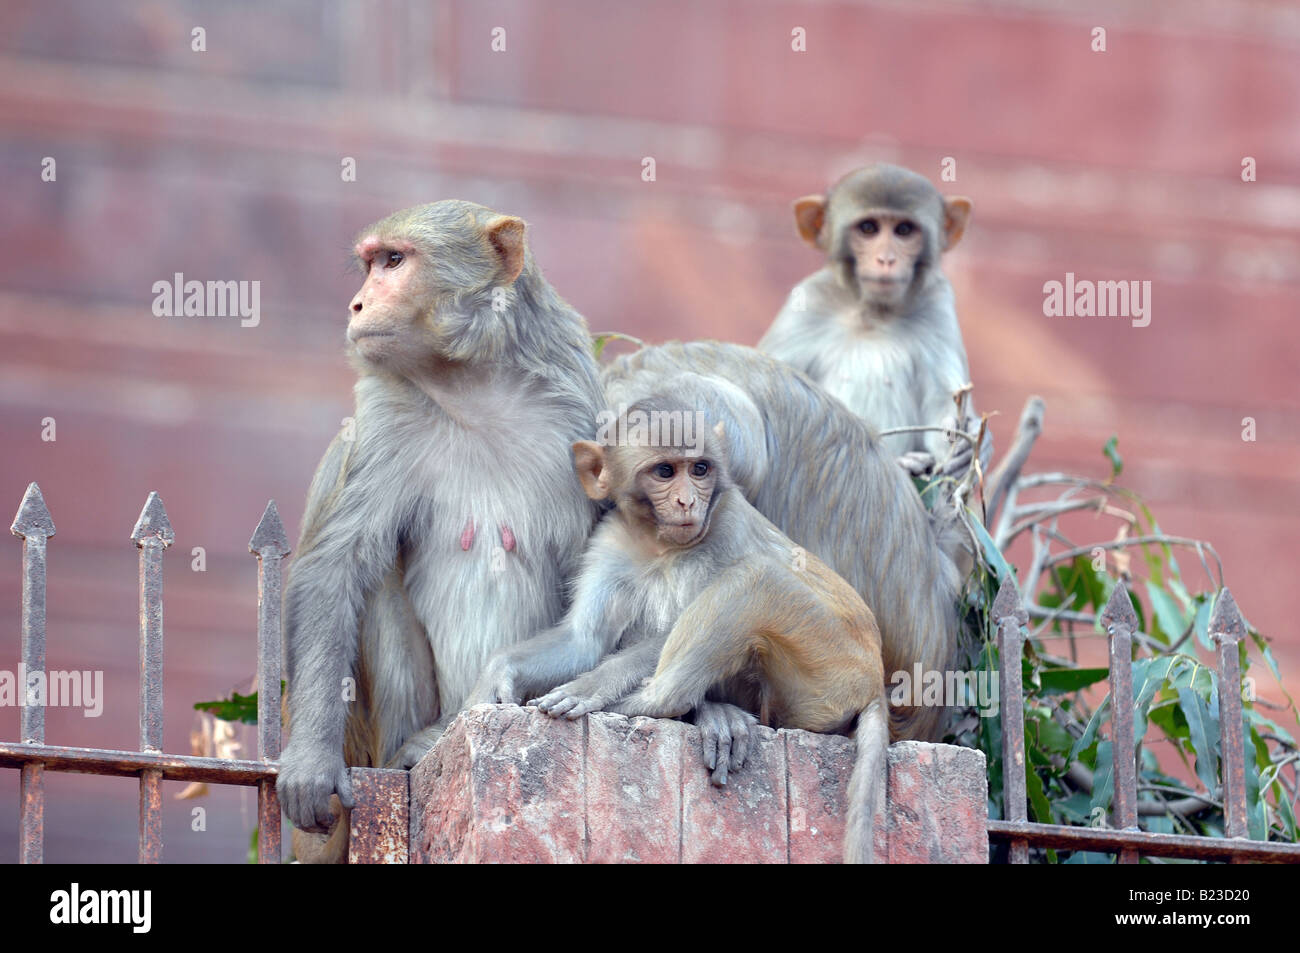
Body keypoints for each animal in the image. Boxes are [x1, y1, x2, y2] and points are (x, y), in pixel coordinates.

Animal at [276, 200, 604, 862]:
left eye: (394, 261)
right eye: (371, 263)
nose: (355, 304)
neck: (472, 386)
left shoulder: (578, 407)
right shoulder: (382, 416)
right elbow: (334, 567)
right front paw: (310, 762)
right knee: (374, 581)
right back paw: (412, 752)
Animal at [517, 399, 889, 862]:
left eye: (699, 469)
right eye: (664, 471)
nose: (687, 501)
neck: (658, 544)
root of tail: (875, 682)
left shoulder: (725, 526)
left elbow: (666, 632)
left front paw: (590, 688)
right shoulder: (611, 539)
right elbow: (585, 640)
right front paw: (501, 675)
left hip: (832, 664)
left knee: (755, 578)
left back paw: (650, 704)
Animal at [759, 163, 990, 480]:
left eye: (904, 230)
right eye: (868, 228)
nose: (886, 259)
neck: (872, 314)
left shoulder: (937, 308)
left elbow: (942, 401)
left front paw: (967, 449)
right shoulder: (805, 307)